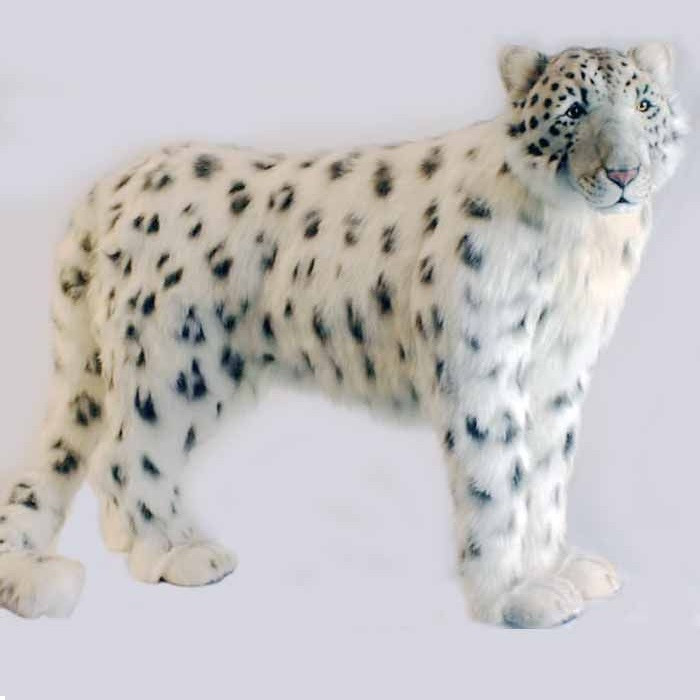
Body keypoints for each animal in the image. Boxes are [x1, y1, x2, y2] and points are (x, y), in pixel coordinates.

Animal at [0, 42, 686, 627]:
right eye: (574, 110)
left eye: (644, 105)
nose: (624, 172)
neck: (581, 248)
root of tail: (110, 185)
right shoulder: (485, 369)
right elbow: (499, 480)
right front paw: (516, 596)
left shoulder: (556, 373)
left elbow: (546, 476)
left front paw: (561, 569)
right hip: (172, 360)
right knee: (123, 455)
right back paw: (179, 553)